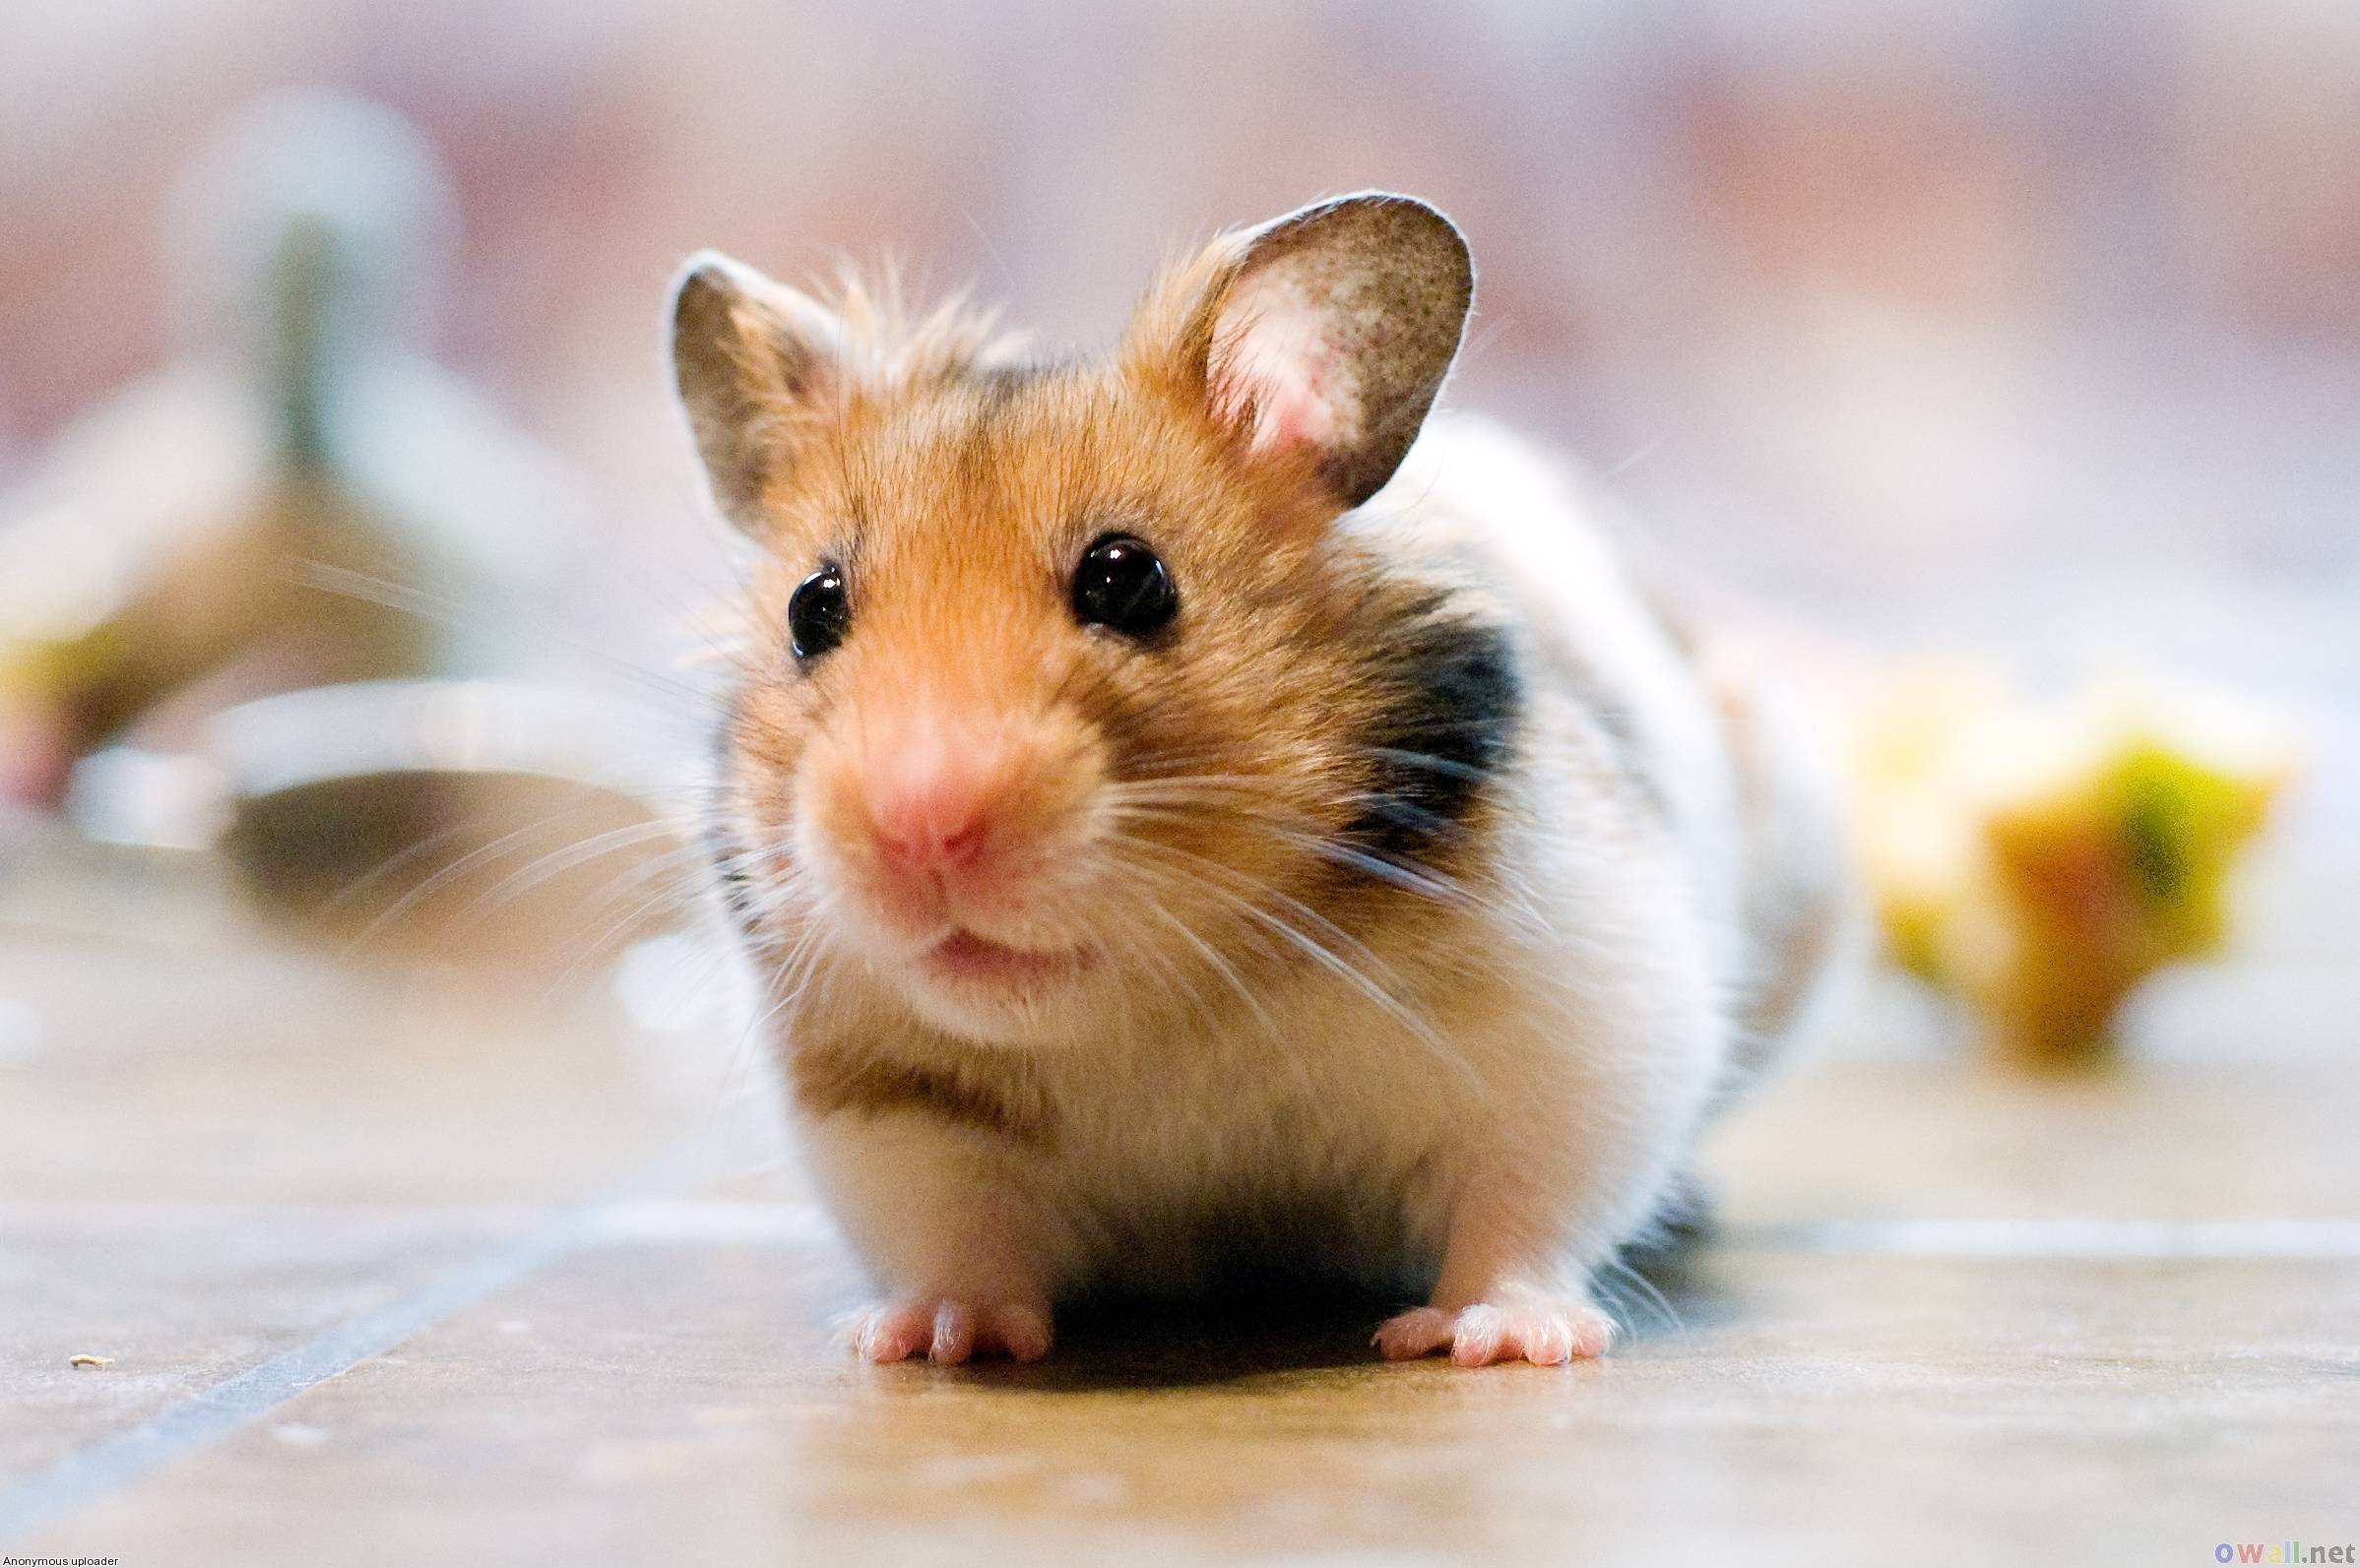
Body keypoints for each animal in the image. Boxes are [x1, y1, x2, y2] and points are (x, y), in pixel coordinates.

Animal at [668, 192, 1849, 1367]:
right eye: (812, 608)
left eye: (1128, 579)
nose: (921, 830)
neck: (1166, 1005)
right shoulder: (881, 1111)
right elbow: (953, 1230)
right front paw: (925, 1341)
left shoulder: (1586, 1024)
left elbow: (1526, 1205)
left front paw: (1495, 1341)